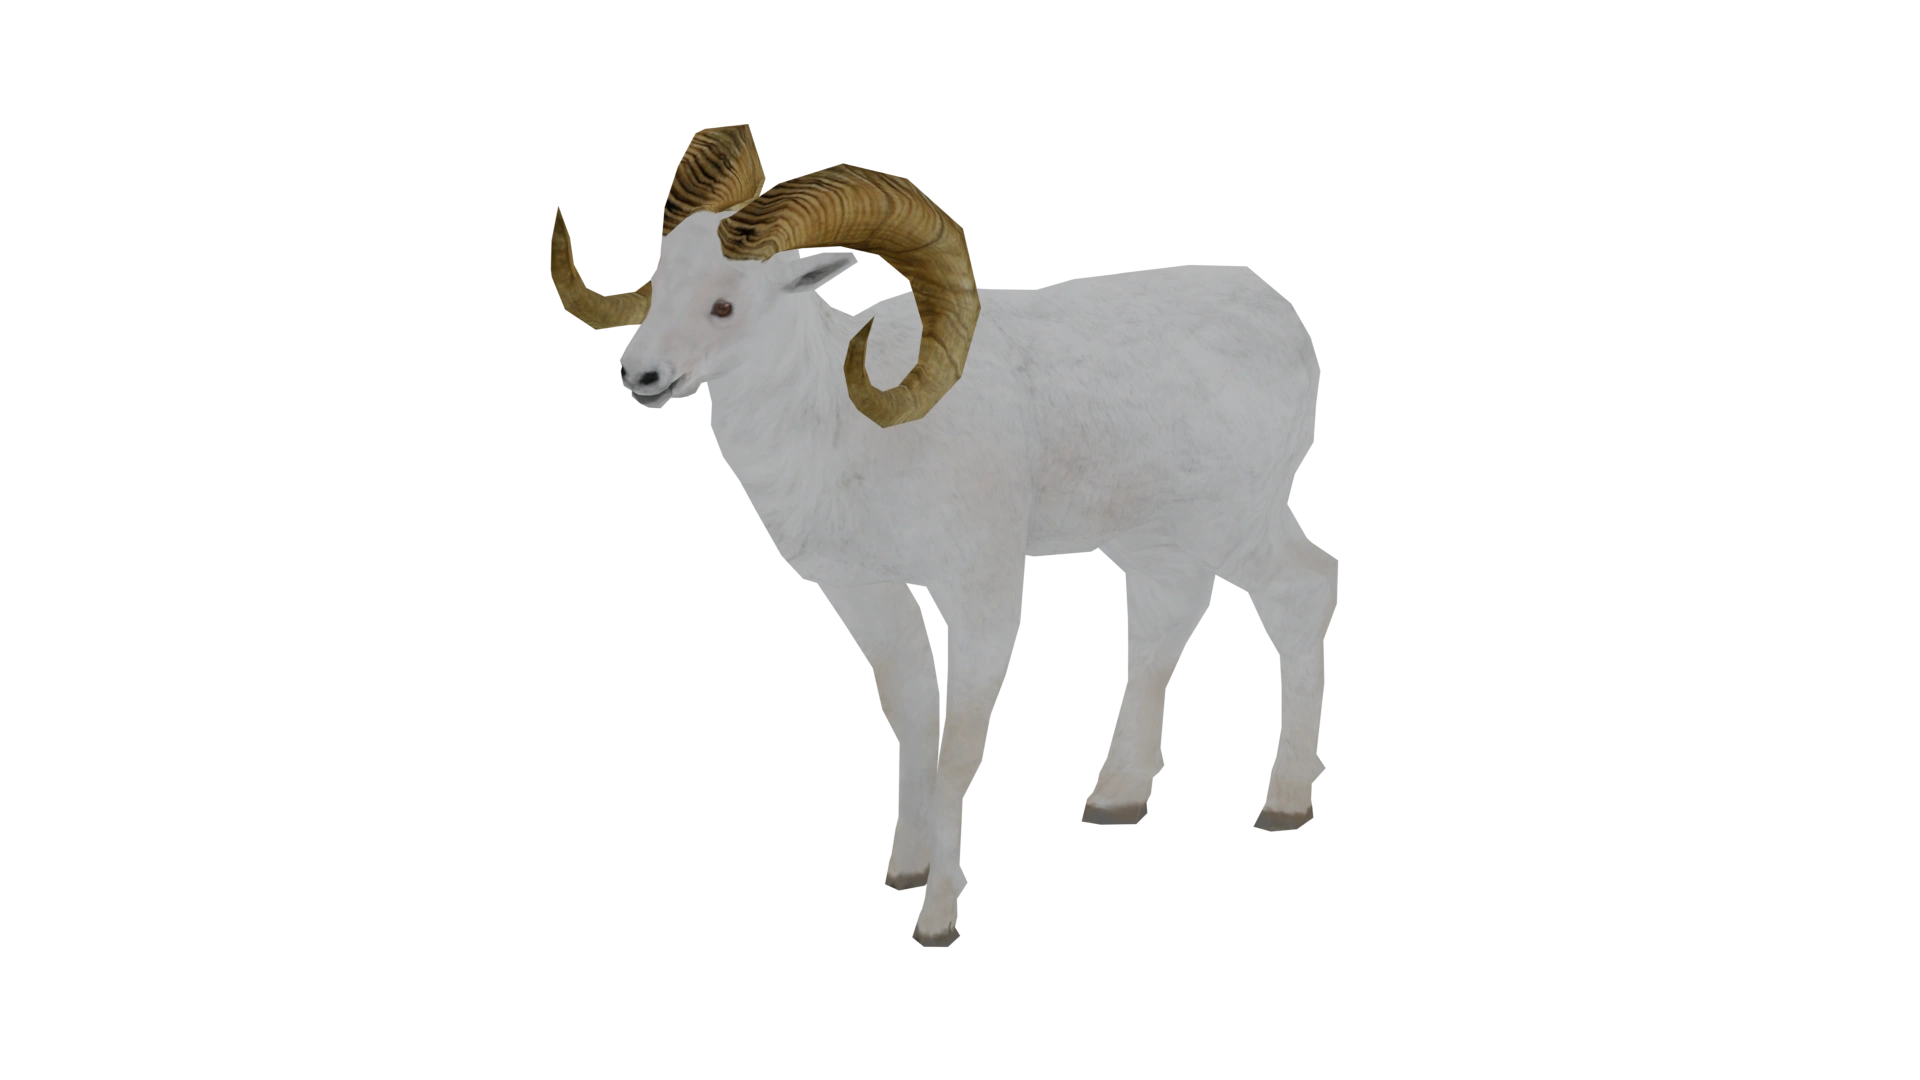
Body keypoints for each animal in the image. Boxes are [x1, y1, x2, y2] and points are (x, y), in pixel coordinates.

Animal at [549, 124, 1341, 943]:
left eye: (724, 305)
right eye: (661, 282)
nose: (639, 375)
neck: (845, 434)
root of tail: (1288, 322)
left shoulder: (978, 592)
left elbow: (960, 739)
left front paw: (936, 919)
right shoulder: (872, 595)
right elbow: (912, 717)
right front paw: (904, 871)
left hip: (1238, 524)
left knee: (1304, 591)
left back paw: (1283, 804)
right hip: (1163, 543)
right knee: (1166, 625)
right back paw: (1116, 800)